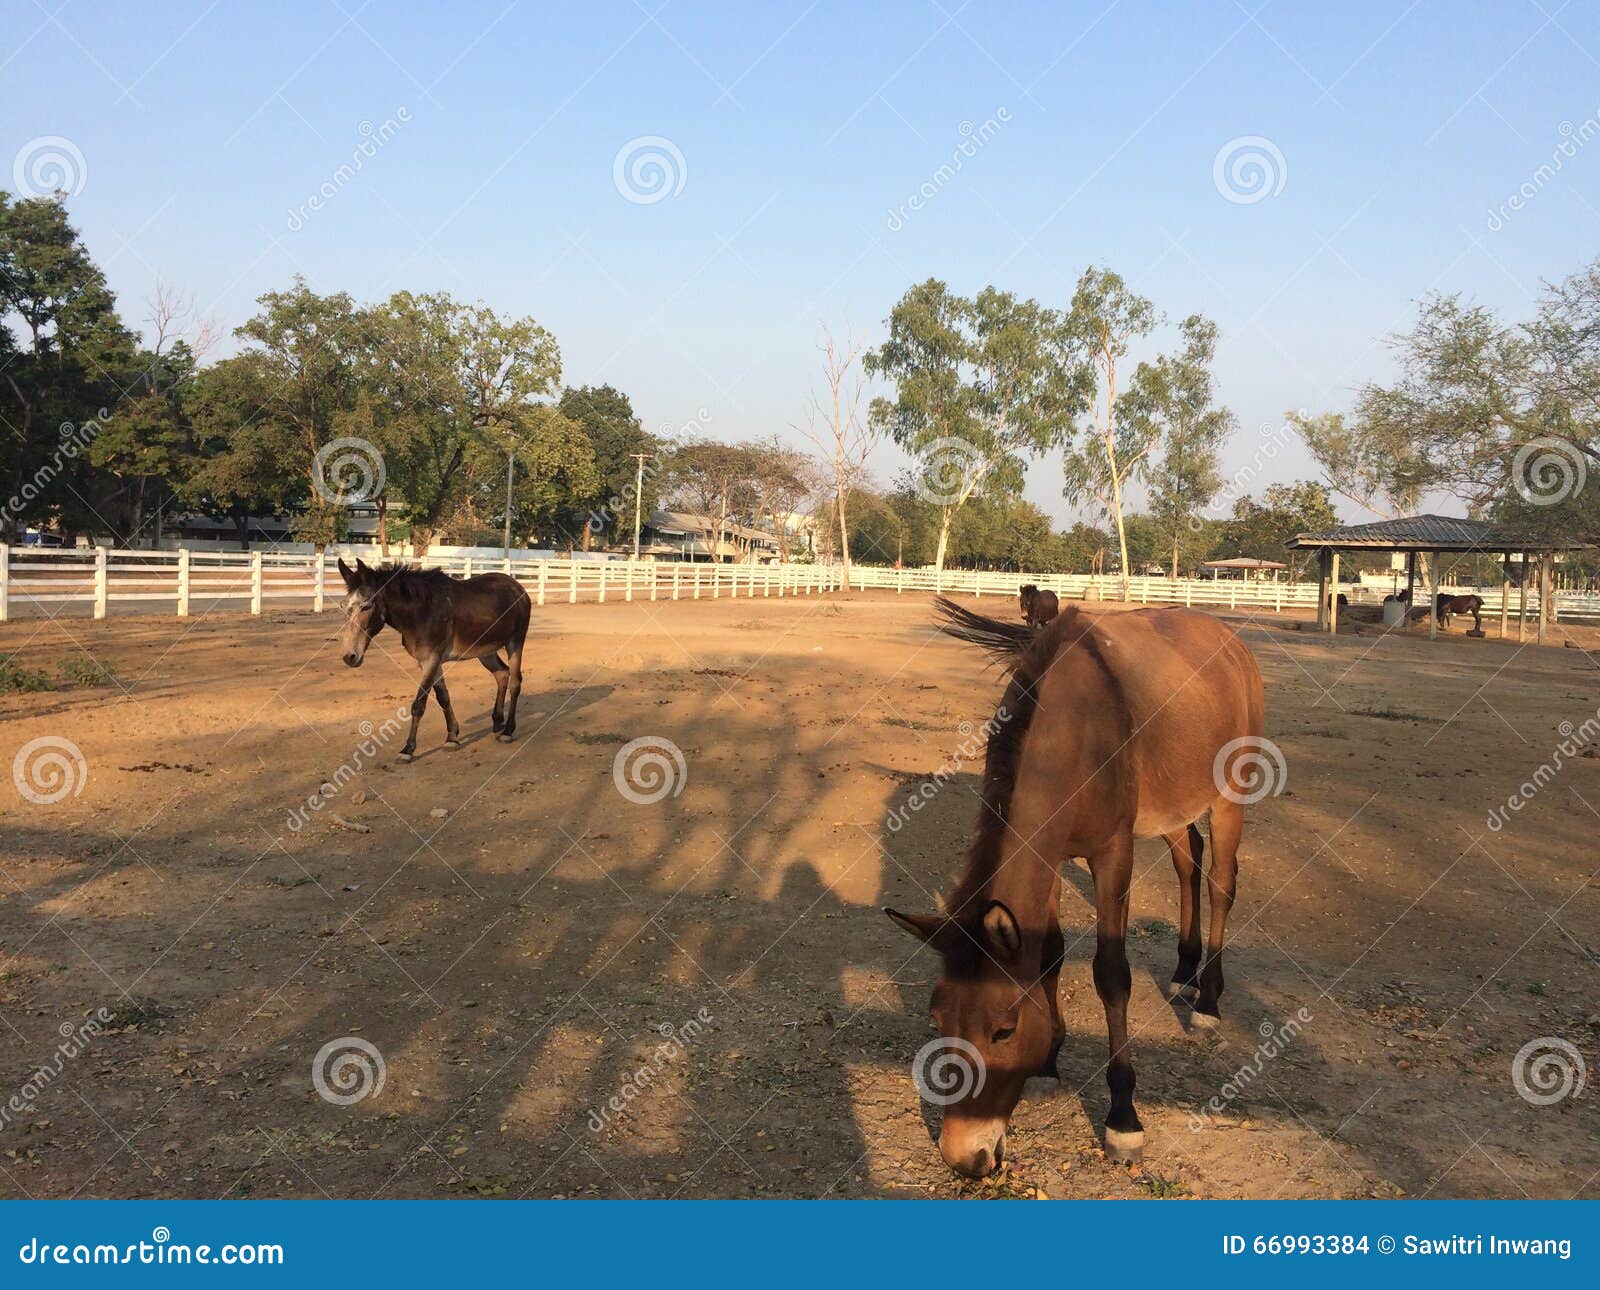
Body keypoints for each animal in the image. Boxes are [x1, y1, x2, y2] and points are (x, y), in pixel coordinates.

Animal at [336, 558, 531, 762]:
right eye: (343, 607)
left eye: (366, 606)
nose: (349, 656)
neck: (421, 613)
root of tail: (517, 587)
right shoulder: (430, 663)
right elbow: (443, 697)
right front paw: (452, 738)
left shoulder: (431, 660)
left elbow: (418, 705)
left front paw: (408, 749)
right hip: (486, 652)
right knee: (502, 674)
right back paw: (497, 722)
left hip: (515, 643)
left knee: (515, 682)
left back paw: (508, 730)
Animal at [886, 597, 1265, 1177]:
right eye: (937, 1017)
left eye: (1003, 1030)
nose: (965, 1157)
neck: (1073, 729)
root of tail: (1230, 641)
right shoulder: (1053, 856)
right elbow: (1049, 956)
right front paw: (1048, 1063)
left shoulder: (1112, 855)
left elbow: (1111, 975)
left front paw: (1124, 1118)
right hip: (1171, 806)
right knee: (1187, 859)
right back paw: (1183, 972)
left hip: (1230, 794)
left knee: (1221, 882)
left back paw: (1207, 1004)